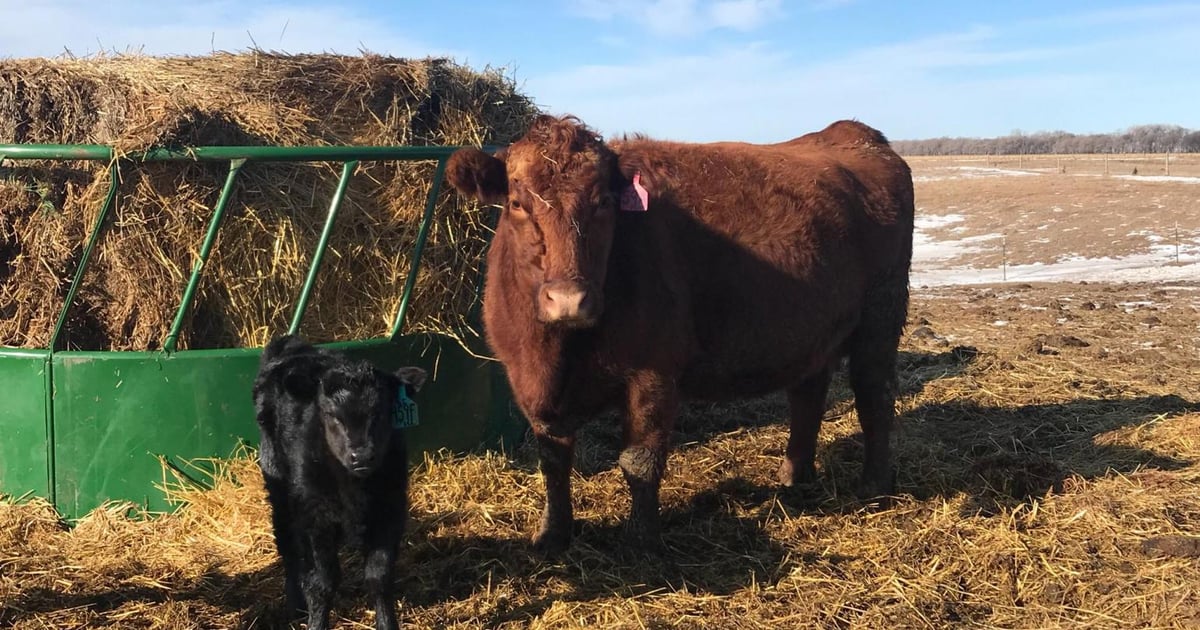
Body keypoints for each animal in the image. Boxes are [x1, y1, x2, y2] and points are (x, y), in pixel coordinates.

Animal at [252, 334, 427, 630]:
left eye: (381, 412)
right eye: (331, 414)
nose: (362, 455)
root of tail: (291, 346)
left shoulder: (390, 510)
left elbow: (379, 576)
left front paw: (387, 623)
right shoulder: (316, 517)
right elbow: (322, 583)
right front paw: (316, 623)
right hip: (278, 485)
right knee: (288, 546)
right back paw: (295, 606)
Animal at [445, 114, 914, 553]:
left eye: (604, 202)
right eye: (517, 202)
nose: (568, 300)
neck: (558, 354)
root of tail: (857, 135)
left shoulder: (654, 373)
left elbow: (640, 460)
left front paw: (641, 539)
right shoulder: (529, 384)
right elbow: (553, 462)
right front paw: (552, 535)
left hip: (881, 316)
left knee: (874, 392)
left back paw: (874, 487)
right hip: (811, 330)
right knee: (807, 396)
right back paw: (793, 477)